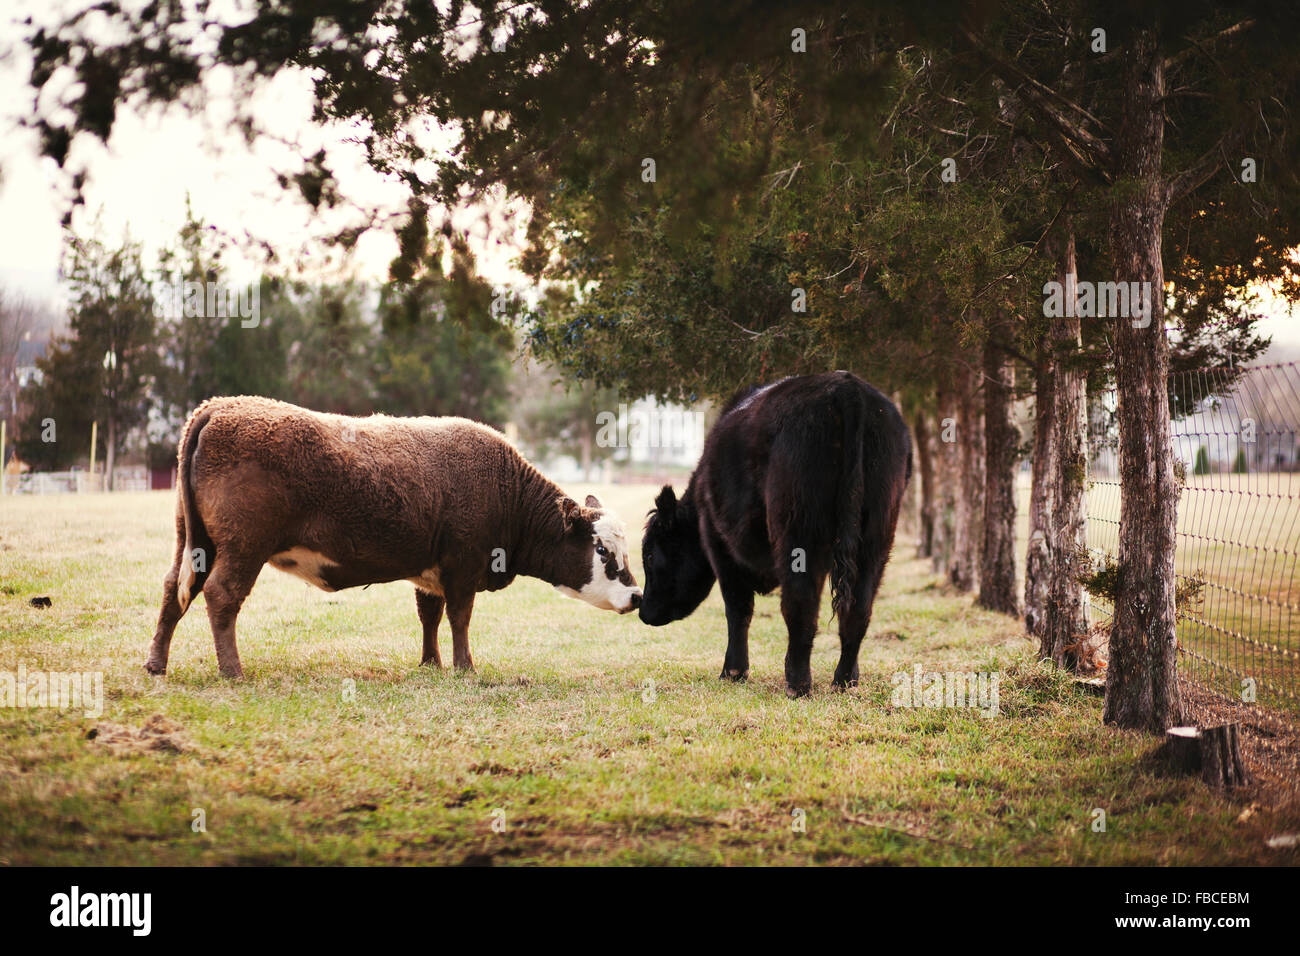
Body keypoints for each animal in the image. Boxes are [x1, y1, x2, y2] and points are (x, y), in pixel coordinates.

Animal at [145, 396, 642, 678]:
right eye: (602, 549)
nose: (637, 596)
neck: (506, 490)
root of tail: (219, 407)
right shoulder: (464, 565)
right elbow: (459, 618)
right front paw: (464, 667)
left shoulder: (432, 572)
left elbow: (430, 616)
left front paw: (431, 663)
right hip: (243, 548)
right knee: (221, 595)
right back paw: (232, 670)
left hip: (193, 544)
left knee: (173, 590)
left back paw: (156, 663)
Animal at [638, 371, 911, 697]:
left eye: (650, 555)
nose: (643, 611)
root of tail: (846, 385)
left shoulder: (719, 544)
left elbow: (737, 609)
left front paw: (733, 672)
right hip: (876, 537)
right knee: (858, 608)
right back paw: (845, 681)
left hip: (799, 532)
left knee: (800, 604)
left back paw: (797, 684)